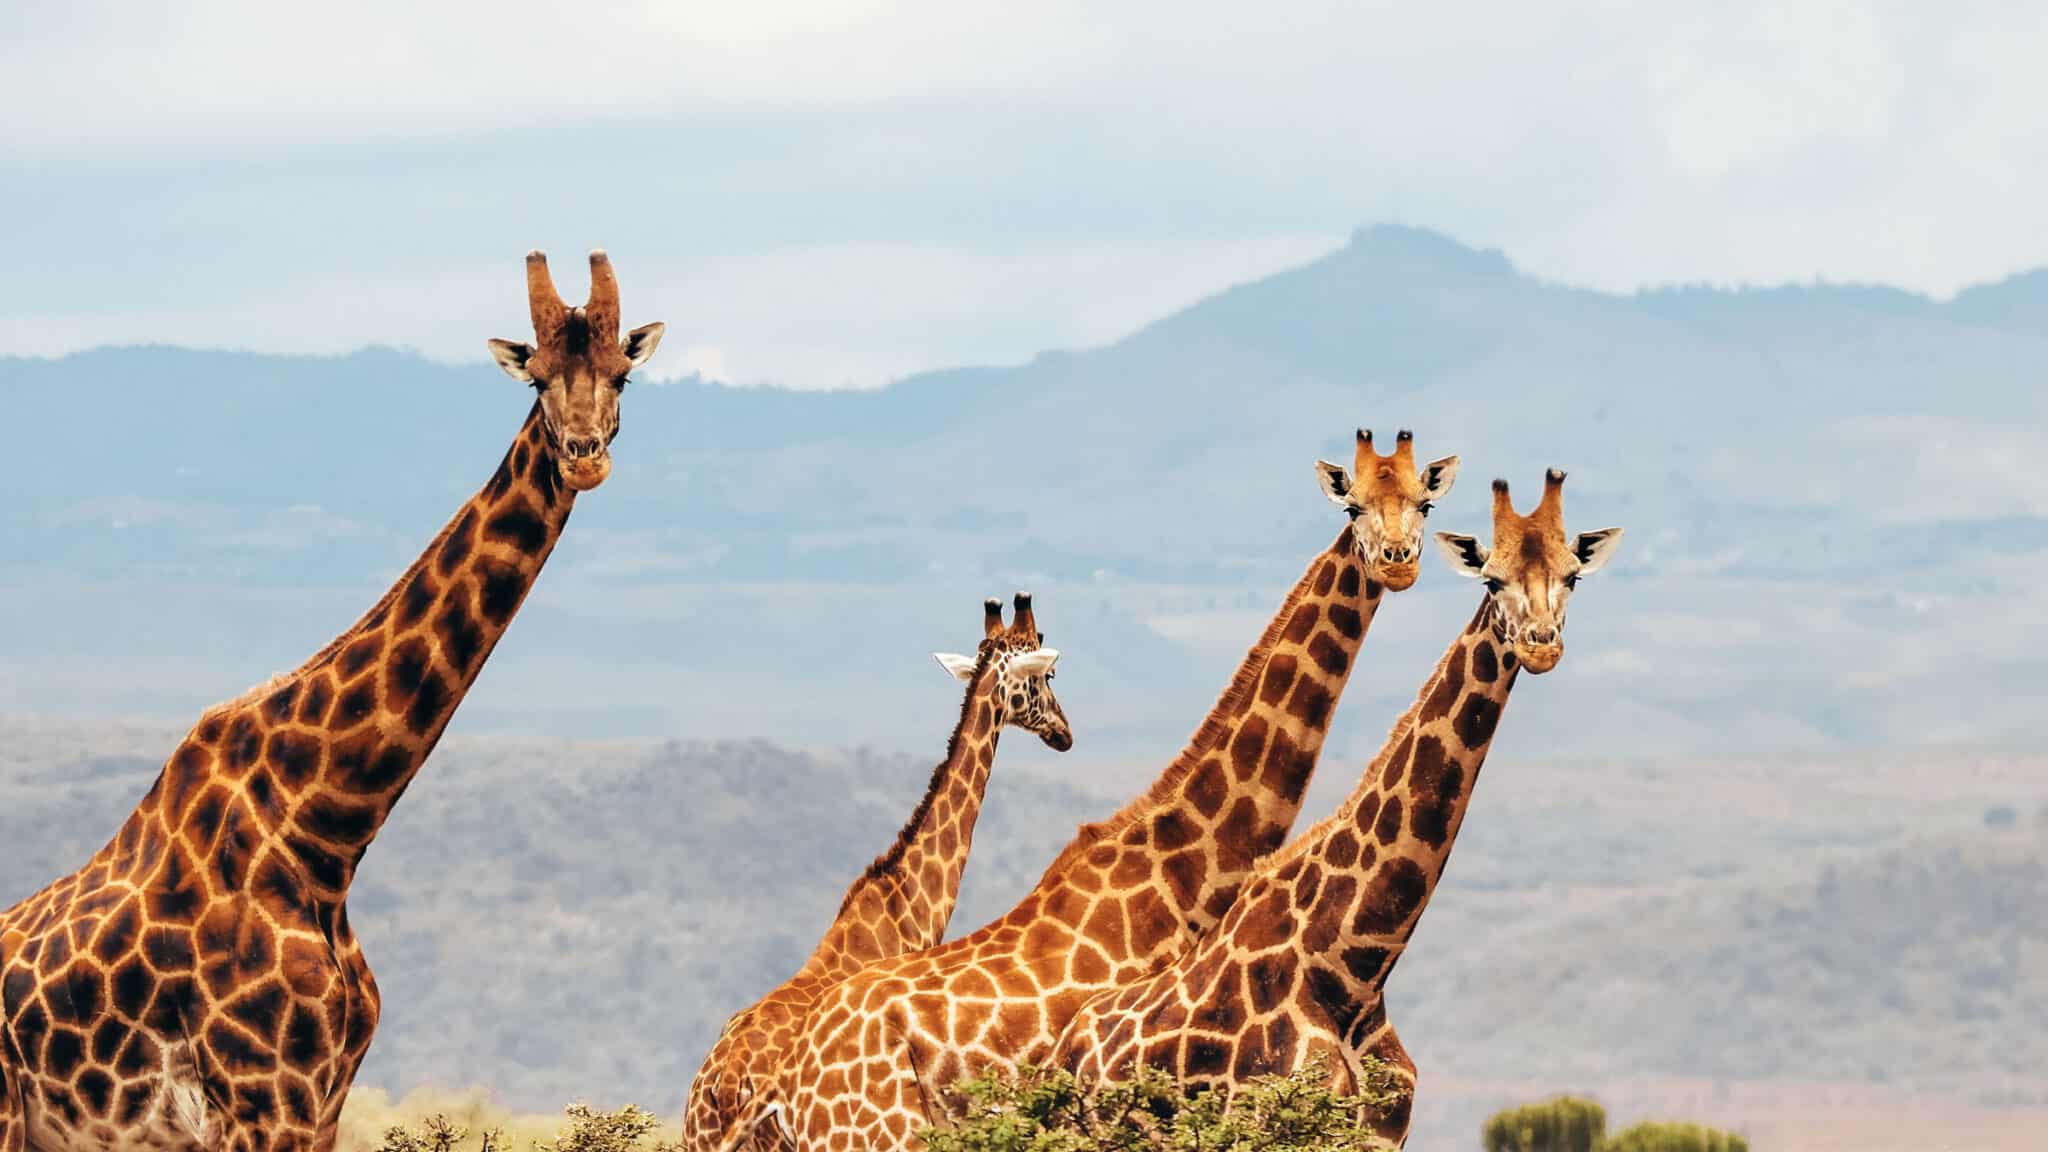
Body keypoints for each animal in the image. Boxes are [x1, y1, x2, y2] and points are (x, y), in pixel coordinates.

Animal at [0, 251, 664, 1152]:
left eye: (622, 375)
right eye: (538, 379)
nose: (584, 456)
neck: (323, 838)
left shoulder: (320, 1104)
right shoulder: (262, 1102)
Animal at [773, 431, 1460, 1152]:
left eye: (1425, 502)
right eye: (1354, 508)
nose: (1399, 564)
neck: (1184, 872)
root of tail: (792, 1081)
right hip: (880, 1130)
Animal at [1049, 468, 1623, 1148]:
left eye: (1572, 576)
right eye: (1492, 579)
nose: (1540, 646)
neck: (1353, 968)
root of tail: (1063, 1049)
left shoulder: (1380, 1134)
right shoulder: (1266, 1121)